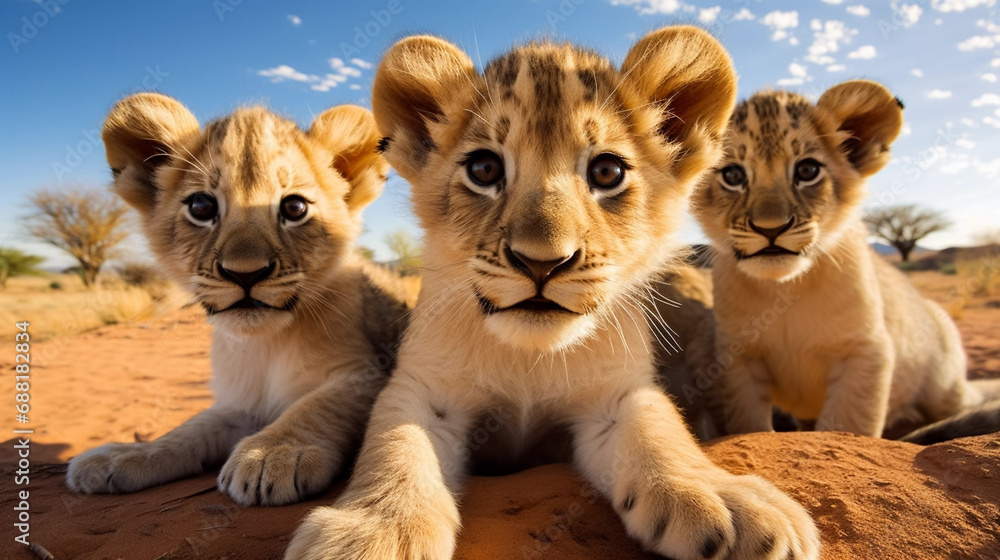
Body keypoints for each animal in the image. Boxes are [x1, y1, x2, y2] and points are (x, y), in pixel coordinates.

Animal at [66, 93, 414, 506]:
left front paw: (272, 455)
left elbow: (316, 406)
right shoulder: (241, 405)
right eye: (201, 207)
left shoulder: (367, 374)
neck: (264, 344)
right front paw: (124, 454)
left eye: (295, 208)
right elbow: (190, 429)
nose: (245, 273)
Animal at [285, 27, 820, 560]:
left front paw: (726, 500)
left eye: (607, 172)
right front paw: (374, 531)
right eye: (484, 169)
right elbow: (395, 444)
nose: (542, 262)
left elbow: (661, 433)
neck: (530, 357)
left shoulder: (616, 396)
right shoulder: (422, 388)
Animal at [692, 81, 1000, 439]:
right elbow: (750, 427)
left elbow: (846, 425)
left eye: (807, 171)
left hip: (944, 381)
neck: (783, 289)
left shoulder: (865, 351)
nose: (771, 228)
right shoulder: (740, 360)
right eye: (732, 175)